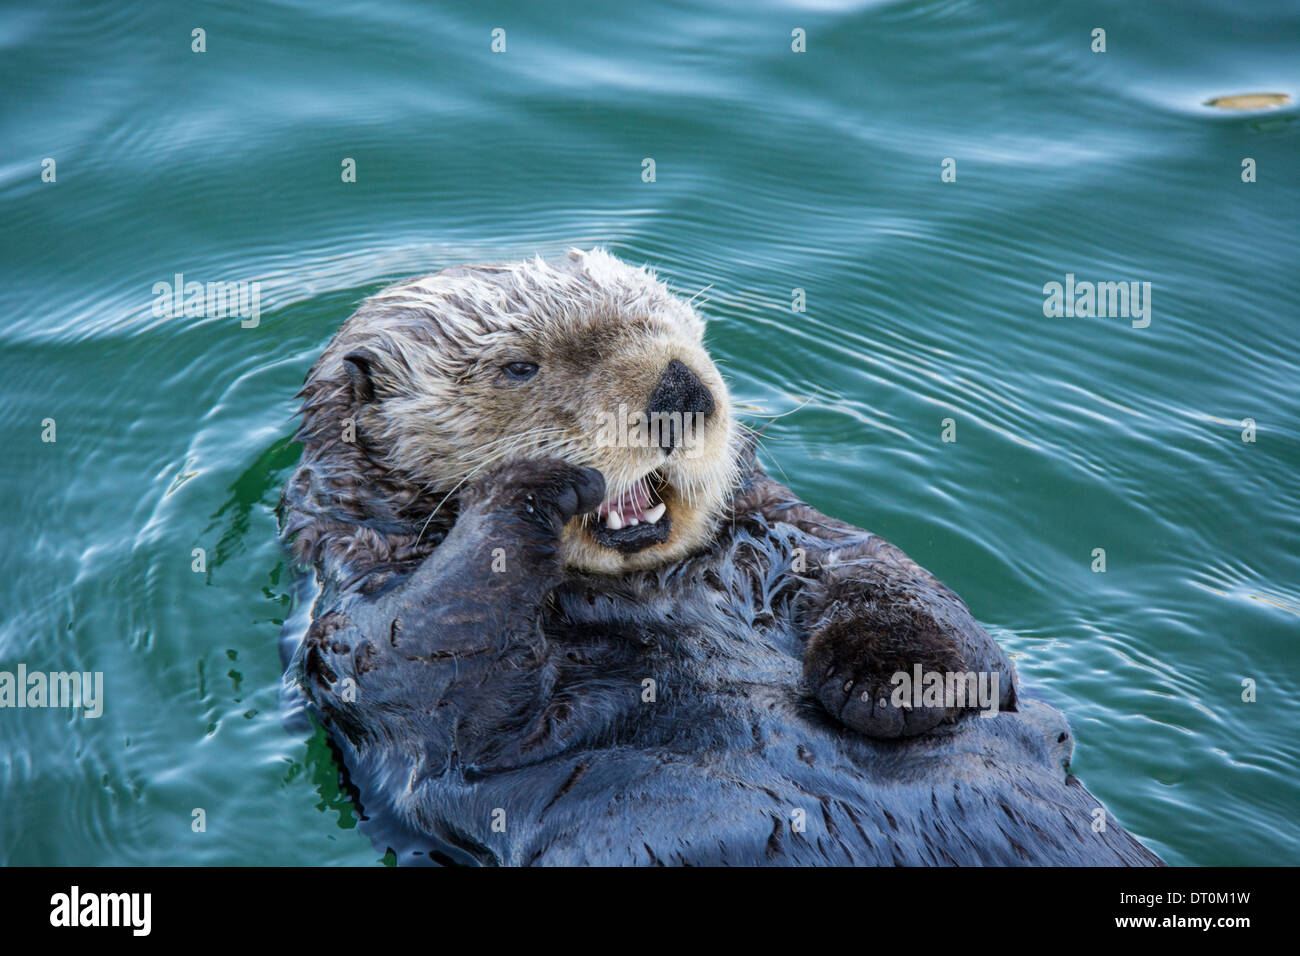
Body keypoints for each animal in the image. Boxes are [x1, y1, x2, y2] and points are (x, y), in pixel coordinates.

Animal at [281, 248, 1162, 866]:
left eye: (686, 333)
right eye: (517, 367)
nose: (681, 387)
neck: (652, 584)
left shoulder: (788, 532)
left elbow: (915, 597)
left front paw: (885, 683)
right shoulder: (355, 621)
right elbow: (426, 662)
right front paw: (533, 478)